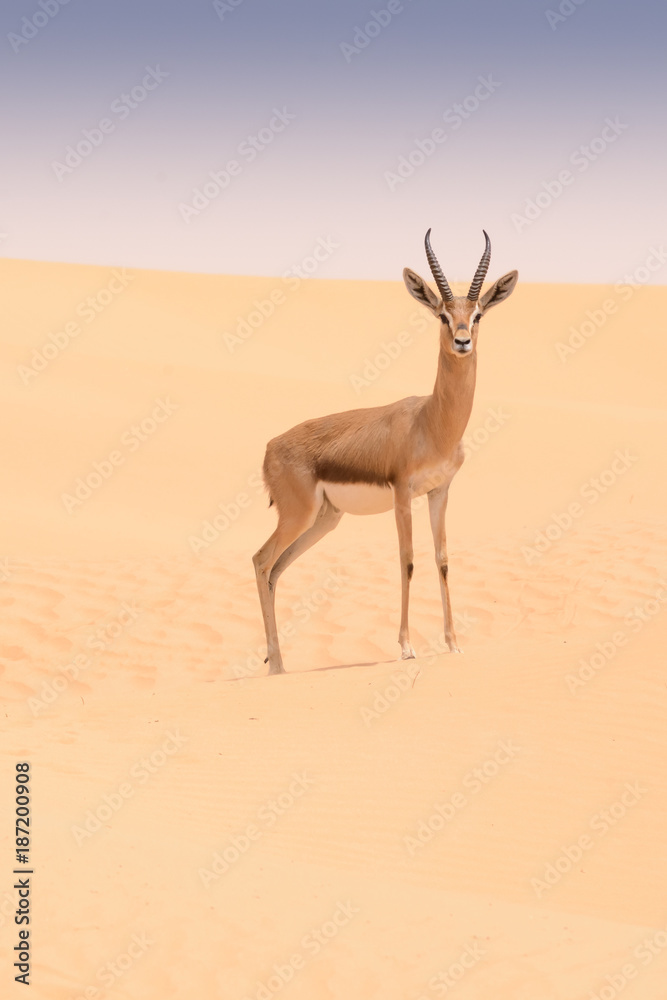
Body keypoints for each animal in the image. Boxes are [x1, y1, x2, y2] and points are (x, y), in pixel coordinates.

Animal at [253, 230, 518, 674]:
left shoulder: (439, 492)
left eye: (477, 314)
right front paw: (406, 647)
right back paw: (275, 667)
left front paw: (452, 644)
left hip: (325, 520)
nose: (462, 341)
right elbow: (406, 559)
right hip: (298, 515)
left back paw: (279, 662)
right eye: (442, 316)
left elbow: (442, 559)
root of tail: (271, 446)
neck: (431, 422)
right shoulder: (402, 494)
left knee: (276, 569)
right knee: (261, 560)